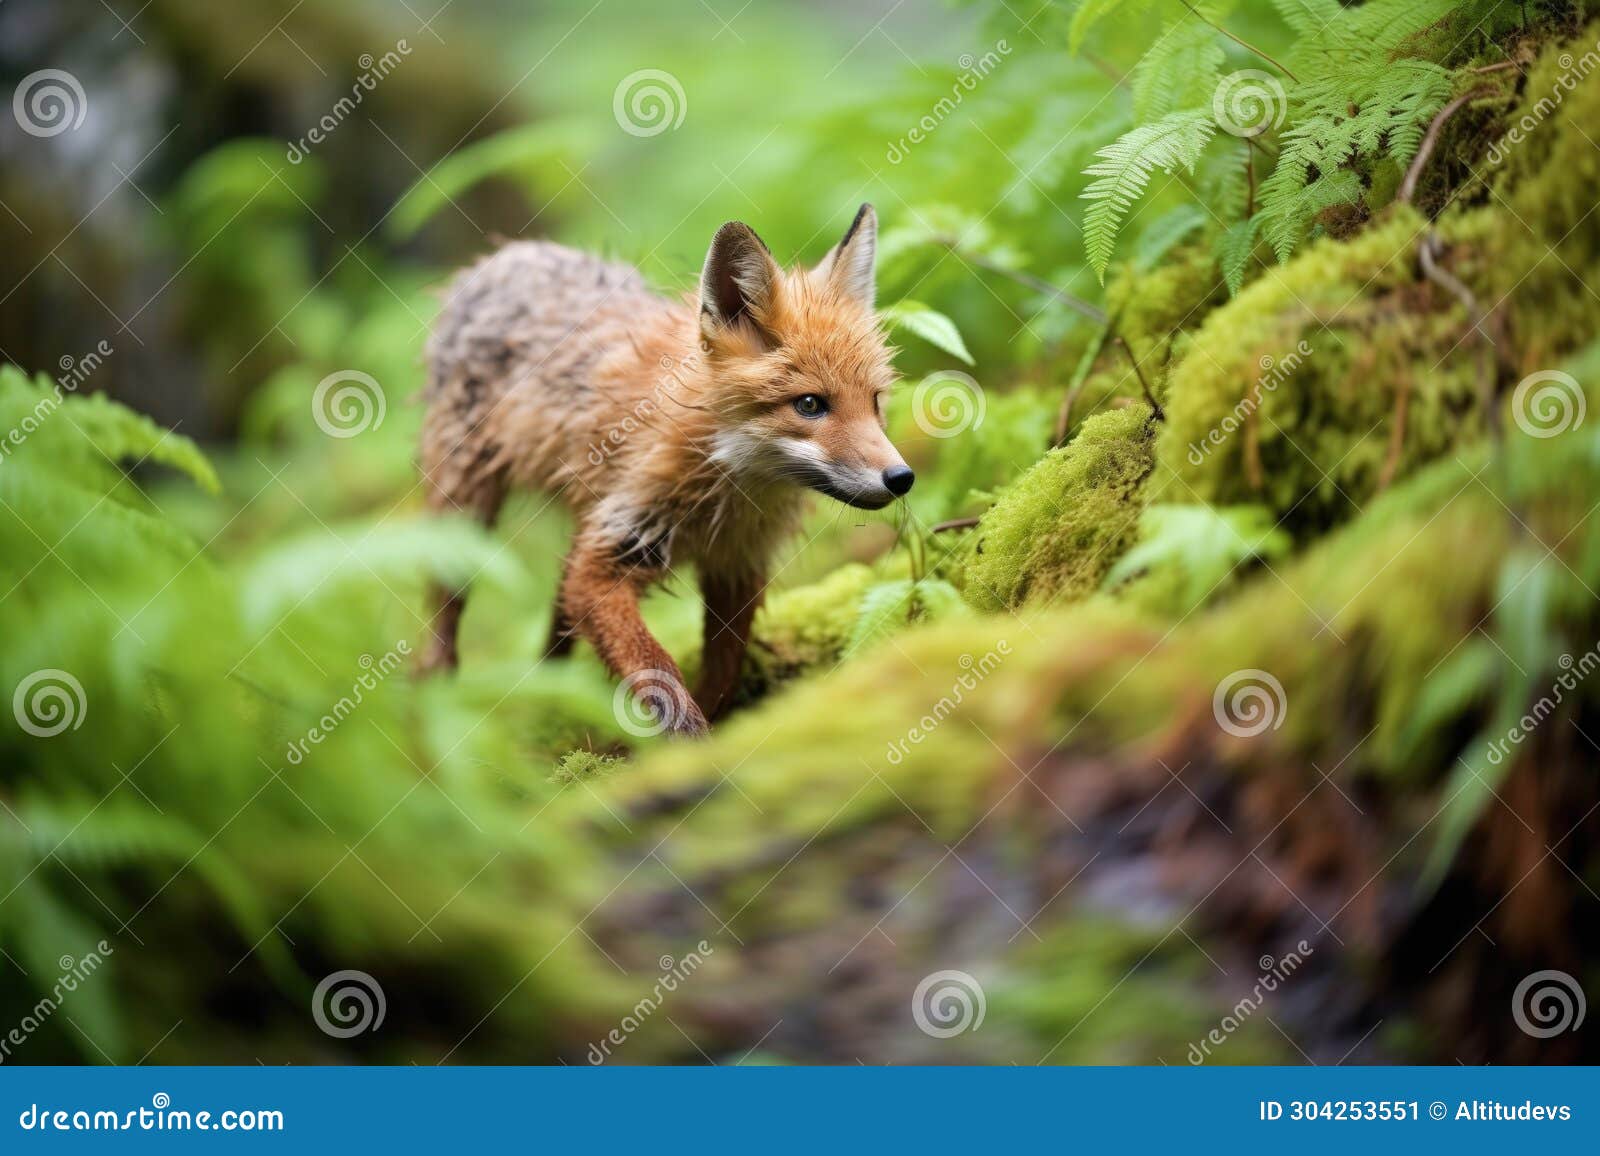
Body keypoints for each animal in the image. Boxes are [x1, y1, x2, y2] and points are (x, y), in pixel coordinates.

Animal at [416, 204, 913, 736]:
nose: (902, 478)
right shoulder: (613, 550)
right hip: (464, 515)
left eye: (875, 402)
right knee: (442, 626)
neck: (727, 489)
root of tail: (510, 253)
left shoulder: (737, 564)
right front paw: (689, 743)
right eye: (809, 404)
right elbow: (656, 670)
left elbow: (721, 674)